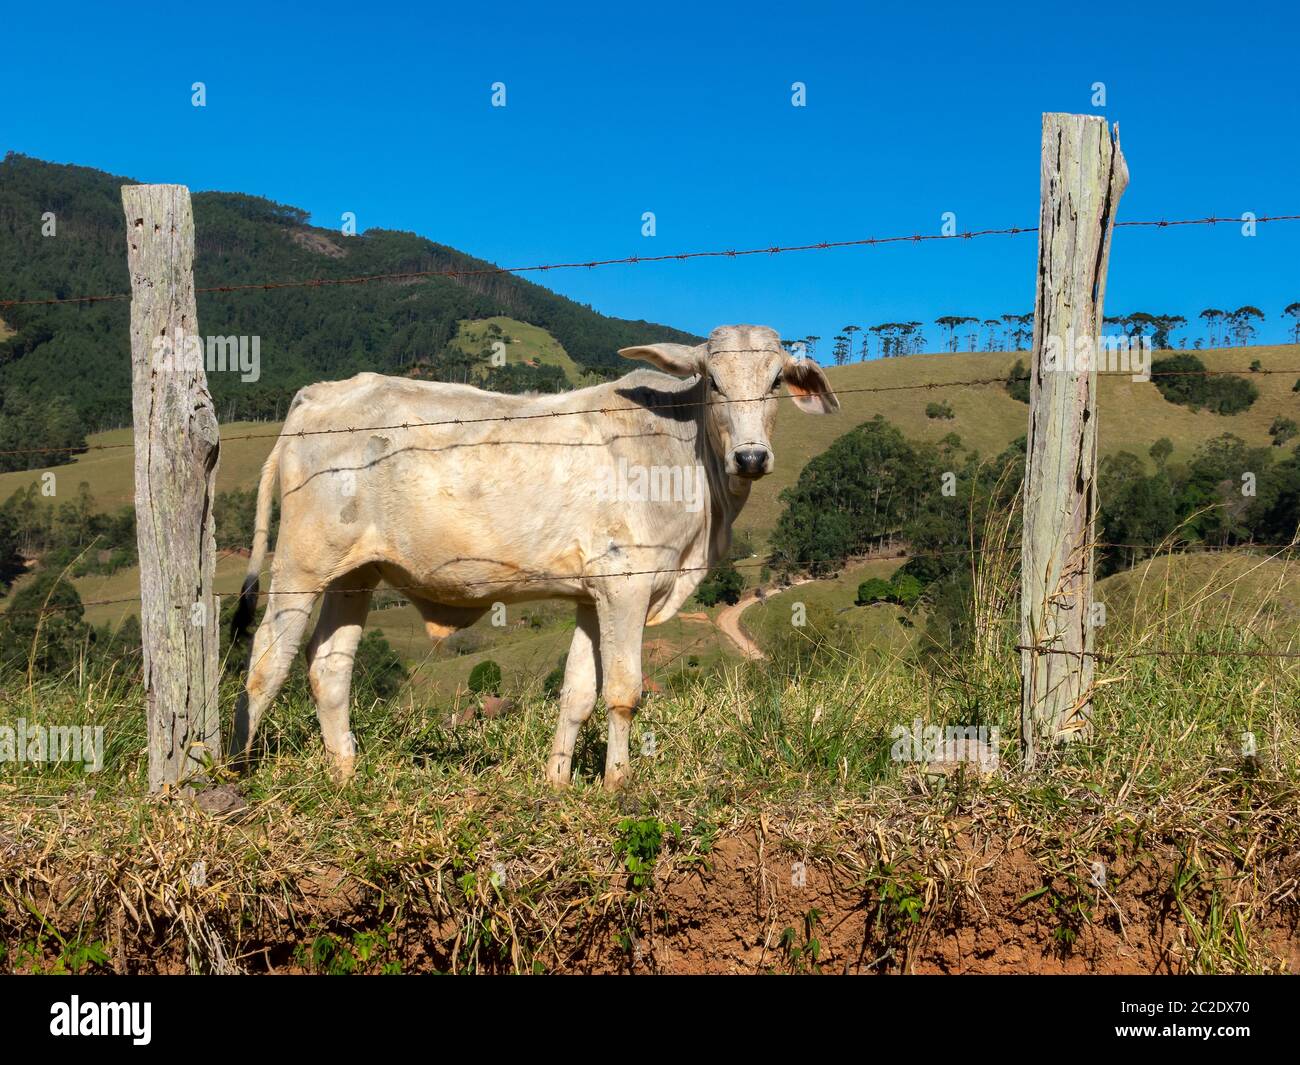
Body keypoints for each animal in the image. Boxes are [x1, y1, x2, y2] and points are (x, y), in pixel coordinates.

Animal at [229, 324, 838, 789]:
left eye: (775, 381)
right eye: (714, 380)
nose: (751, 456)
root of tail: (322, 392)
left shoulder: (593, 595)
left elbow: (577, 695)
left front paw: (559, 784)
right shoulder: (627, 582)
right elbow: (623, 693)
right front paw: (618, 785)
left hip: (355, 573)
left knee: (328, 668)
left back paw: (347, 777)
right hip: (300, 565)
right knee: (265, 667)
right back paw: (238, 779)